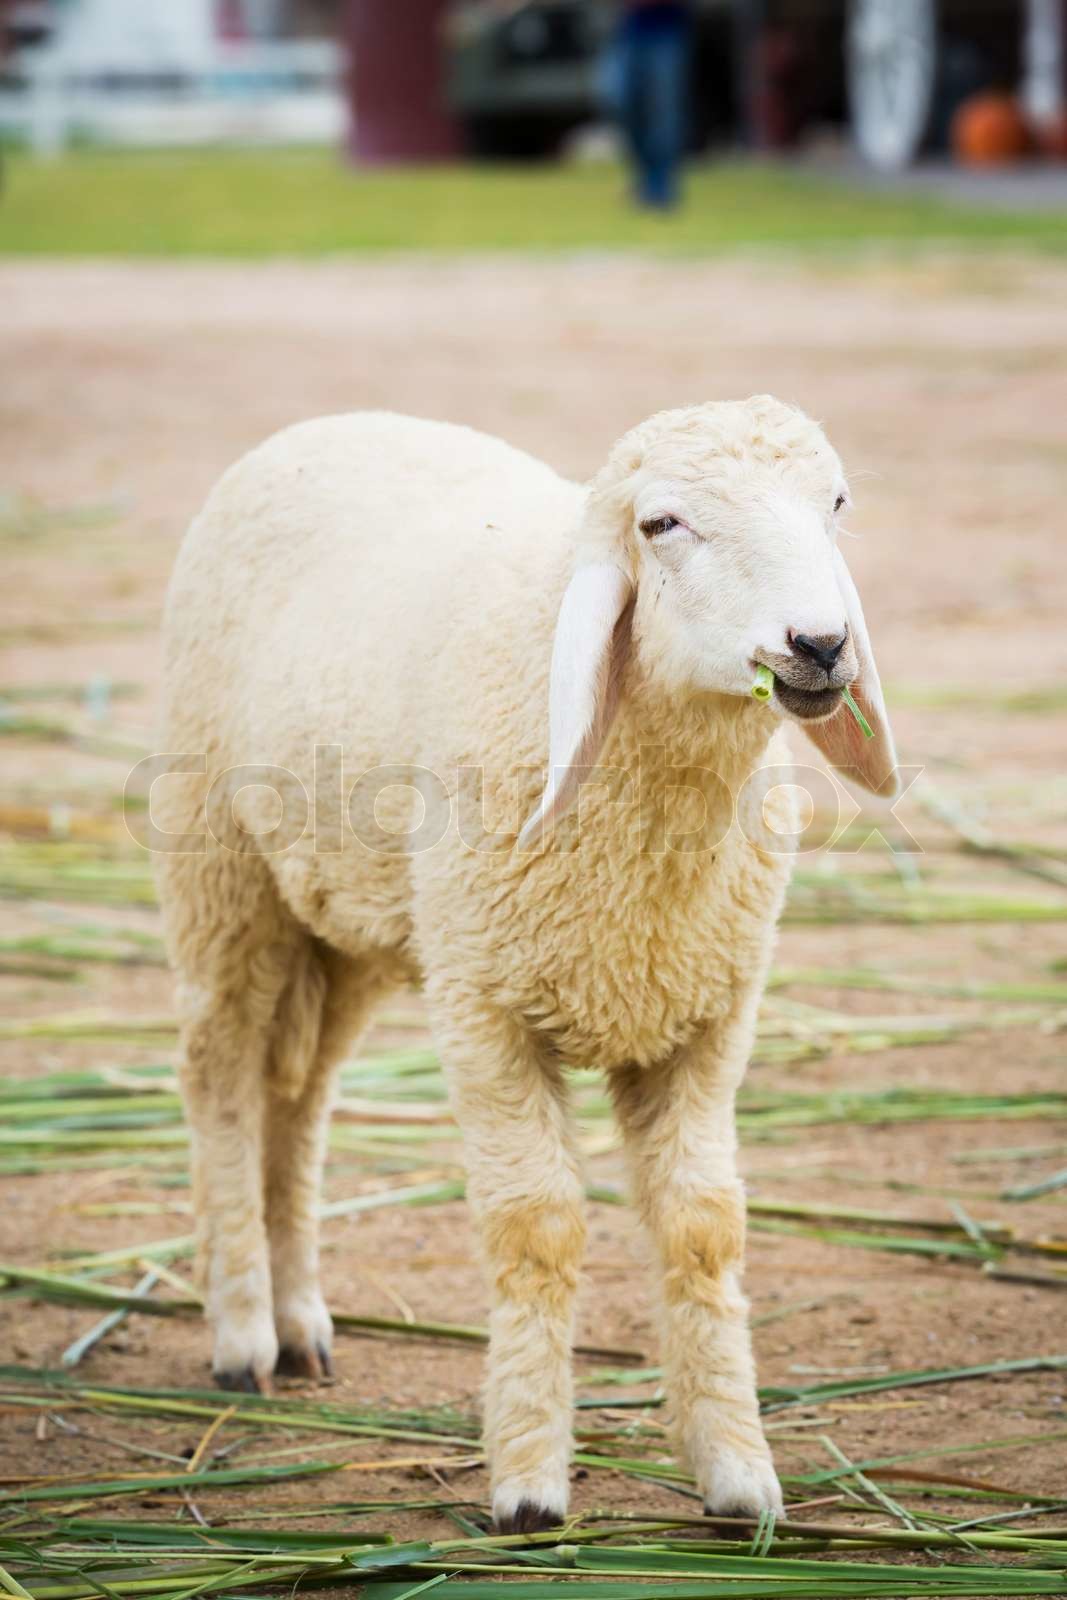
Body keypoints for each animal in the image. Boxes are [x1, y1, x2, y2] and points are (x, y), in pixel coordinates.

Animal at [155, 396, 898, 1533]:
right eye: (661, 524)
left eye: (838, 503)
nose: (818, 642)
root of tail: (331, 419)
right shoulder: (484, 1005)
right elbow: (536, 1228)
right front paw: (529, 1486)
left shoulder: (704, 1013)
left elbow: (703, 1229)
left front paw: (736, 1475)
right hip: (225, 876)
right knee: (222, 1077)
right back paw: (242, 1332)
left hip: (353, 917)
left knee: (300, 1095)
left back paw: (299, 1321)